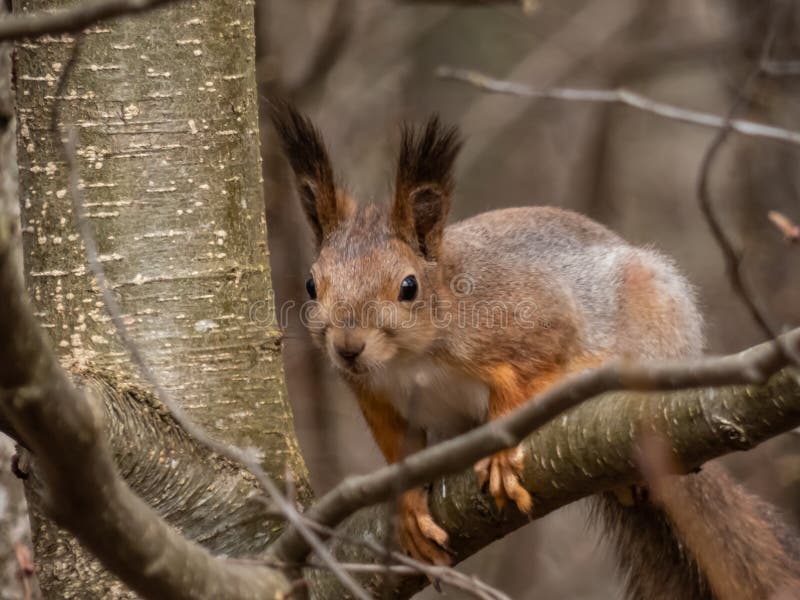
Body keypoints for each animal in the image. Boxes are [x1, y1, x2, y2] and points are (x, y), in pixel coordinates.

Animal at [271, 103, 800, 599]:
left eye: (408, 287)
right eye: (311, 284)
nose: (347, 348)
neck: (410, 359)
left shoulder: (535, 321)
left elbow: (533, 370)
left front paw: (503, 453)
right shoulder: (376, 396)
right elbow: (400, 448)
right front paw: (406, 506)